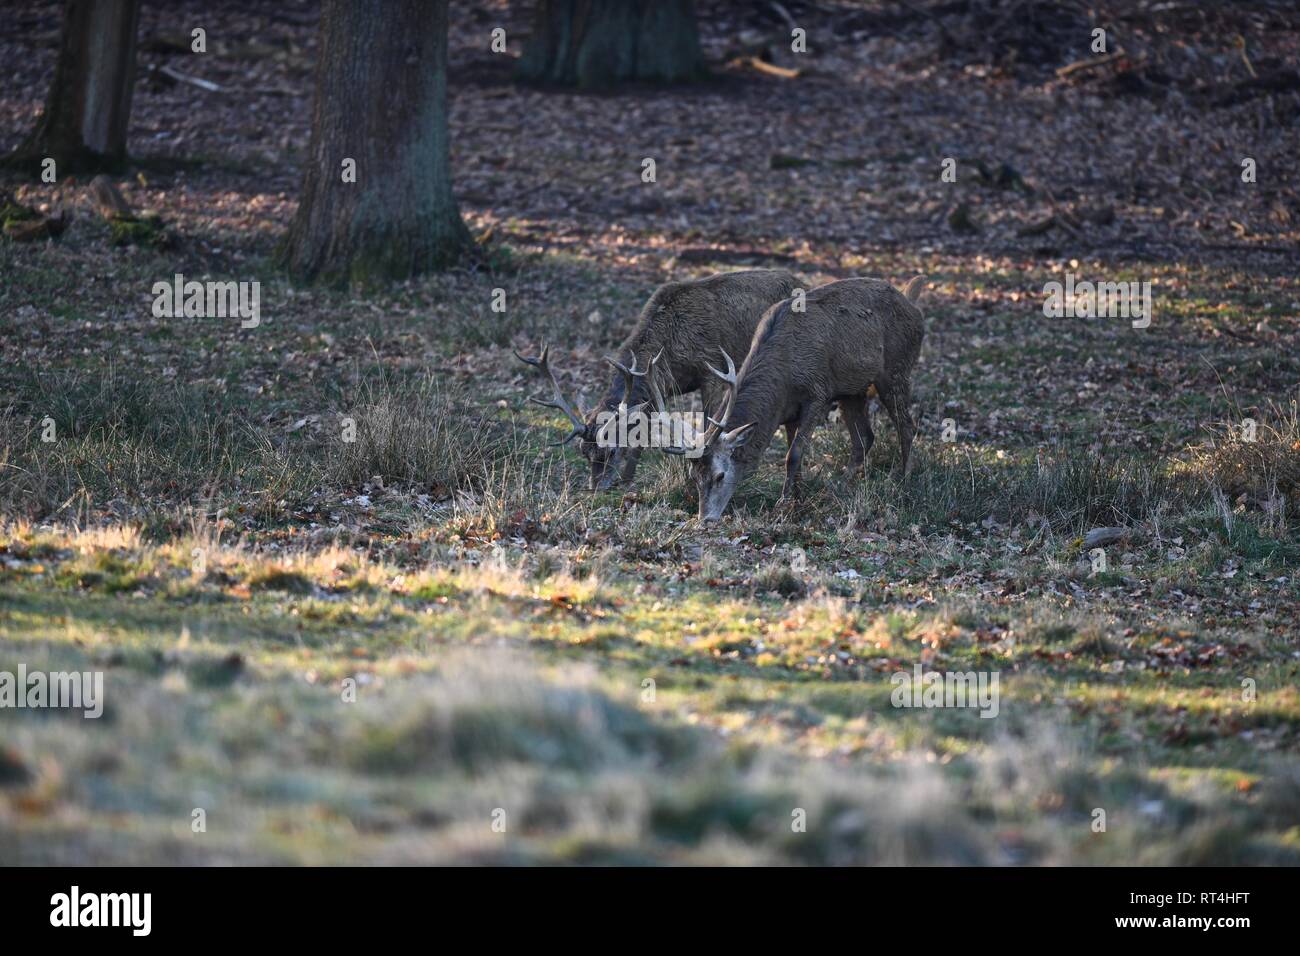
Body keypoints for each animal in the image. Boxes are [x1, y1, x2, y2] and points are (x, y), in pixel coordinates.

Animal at [691, 276, 926, 522]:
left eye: (720, 475)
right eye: (693, 477)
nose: (705, 519)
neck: (784, 379)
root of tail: (912, 304)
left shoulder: (818, 393)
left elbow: (793, 455)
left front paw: (782, 505)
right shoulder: (790, 411)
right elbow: (796, 455)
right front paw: (799, 498)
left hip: (896, 370)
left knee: (907, 426)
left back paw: (904, 479)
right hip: (852, 391)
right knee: (864, 437)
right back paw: (839, 485)